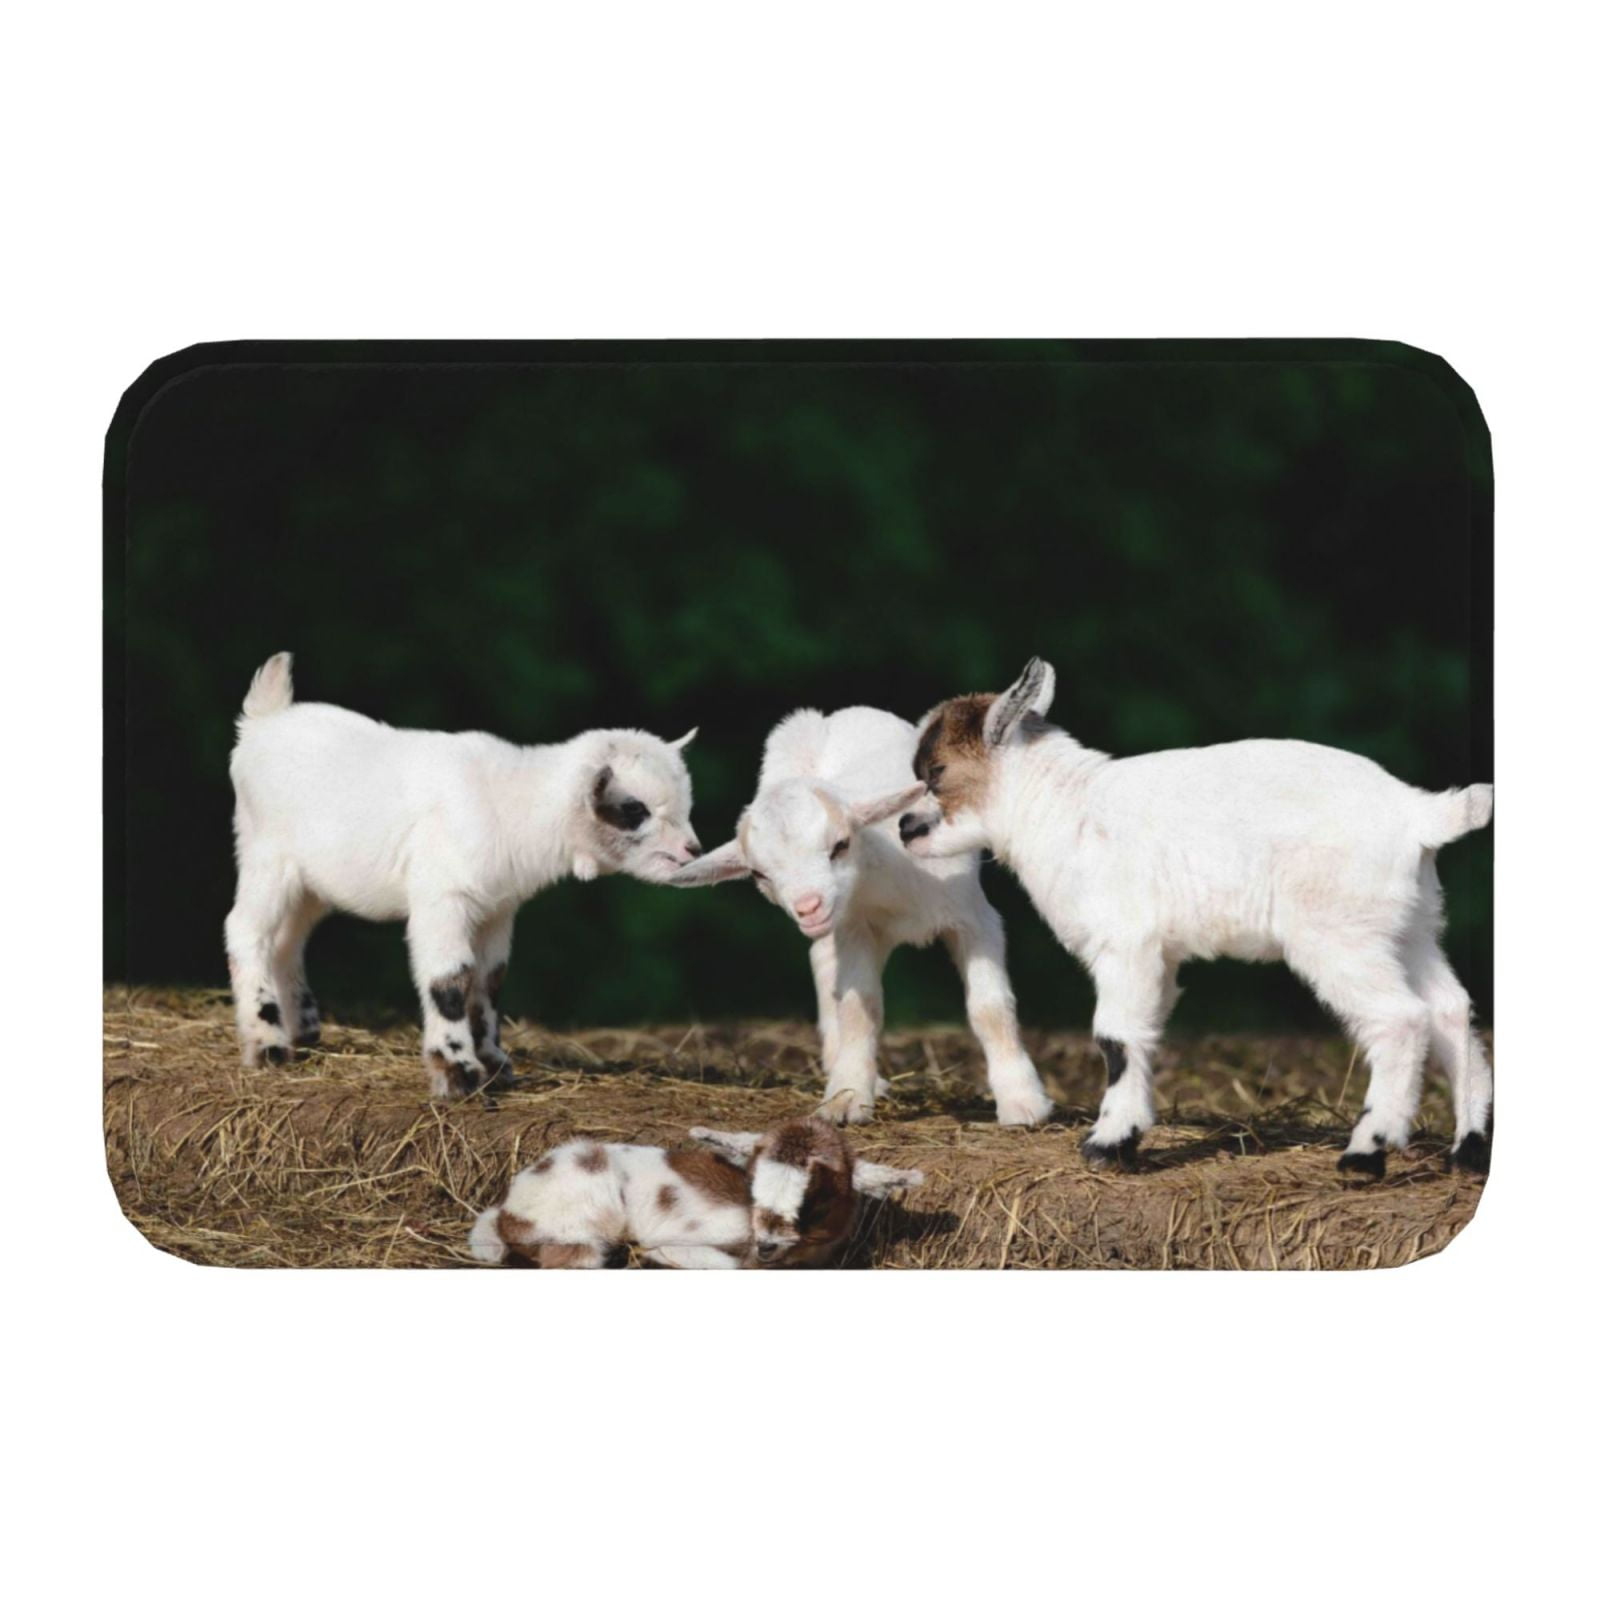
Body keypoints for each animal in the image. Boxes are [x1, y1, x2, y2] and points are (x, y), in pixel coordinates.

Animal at [225, 653, 703, 1098]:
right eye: (635, 809)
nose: (693, 851)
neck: (516, 805)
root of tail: (263, 721)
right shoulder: (443, 900)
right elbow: (450, 979)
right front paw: (458, 1071)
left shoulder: (497, 910)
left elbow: (489, 982)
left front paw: (494, 1063)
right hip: (267, 857)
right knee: (246, 930)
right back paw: (267, 1042)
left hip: (310, 884)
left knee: (286, 939)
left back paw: (301, 1031)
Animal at [667, 706, 1055, 1126]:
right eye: (758, 874)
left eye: (840, 845)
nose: (808, 907)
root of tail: (840, 714)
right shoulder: (854, 928)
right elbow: (857, 1006)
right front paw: (848, 1096)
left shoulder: (975, 919)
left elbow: (990, 1007)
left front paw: (1022, 1101)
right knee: (824, 966)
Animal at [898, 658, 1494, 1177]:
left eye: (938, 772)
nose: (906, 828)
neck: (1064, 809)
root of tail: (1417, 812)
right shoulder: (1158, 957)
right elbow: (1142, 1034)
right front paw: (1129, 1135)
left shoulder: (1125, 943)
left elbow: (1114, 1037)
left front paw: (1106, 1145)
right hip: (1409, 927)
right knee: (1449, 1009)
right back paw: (1467, 1150)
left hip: (1339, 933)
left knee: (1401, 1019)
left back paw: (1366, 1153)